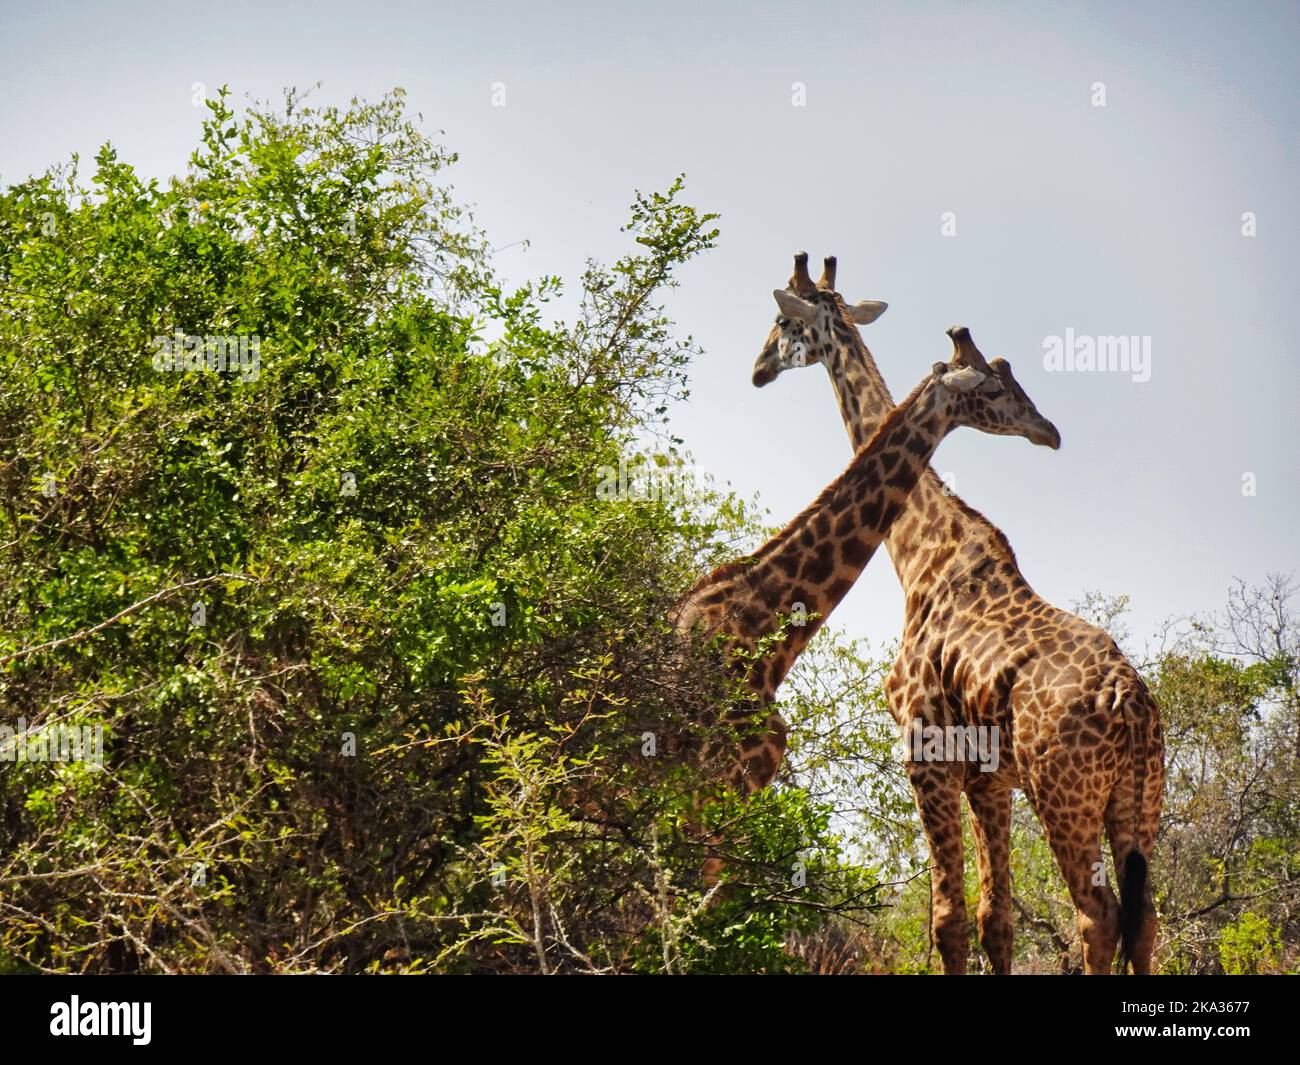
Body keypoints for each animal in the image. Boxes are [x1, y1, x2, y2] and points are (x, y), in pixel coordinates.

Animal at [752, 253, 1165, 975]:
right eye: (1001, 384)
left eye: (783, 323)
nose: (758, 368)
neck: (919, 550)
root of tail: (1133, 706)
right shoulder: (991, 781)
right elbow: (994, 918)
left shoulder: (926, 752)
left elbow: (946, 919)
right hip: (1141, 803)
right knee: (1144, 921)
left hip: (1066, 799)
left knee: (1098, 916)